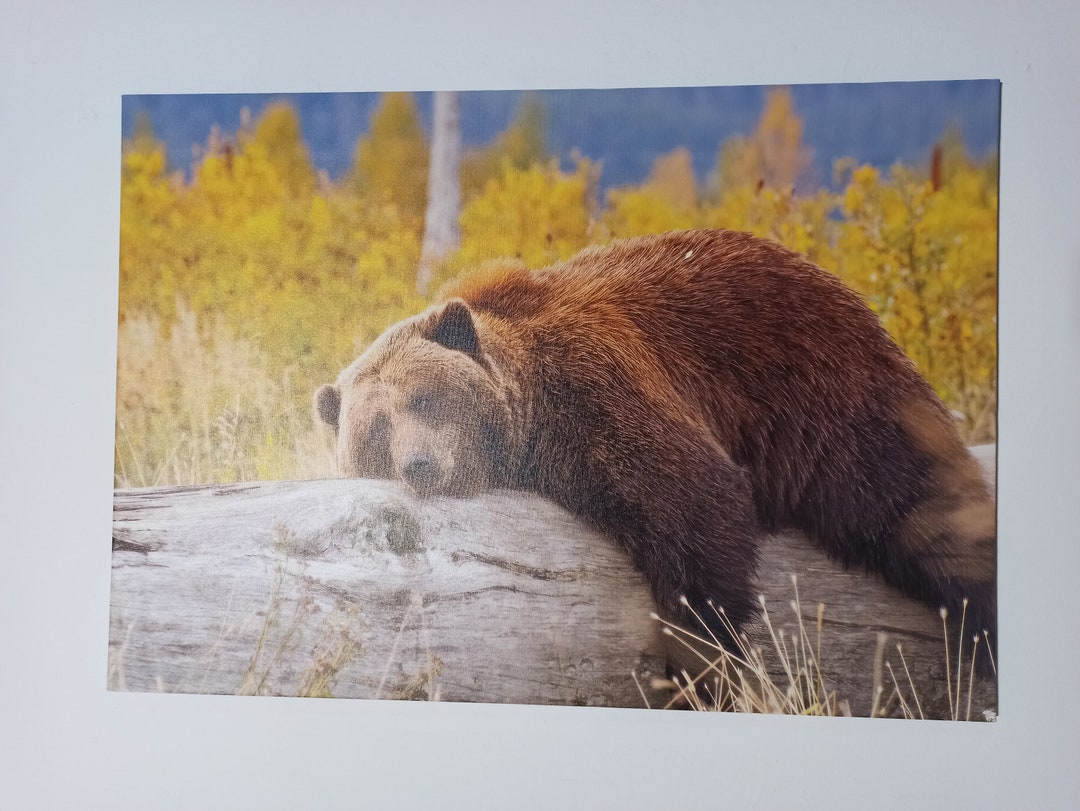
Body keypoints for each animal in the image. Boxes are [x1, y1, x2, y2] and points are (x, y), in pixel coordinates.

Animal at [314, 228, 997, 659]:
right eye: (375, 430)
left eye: (423, 399)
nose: (419, 464)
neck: (534, 421)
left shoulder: (598, 386)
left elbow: (694, 500)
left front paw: (701, 652)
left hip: (830, 401)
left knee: (916, 506)